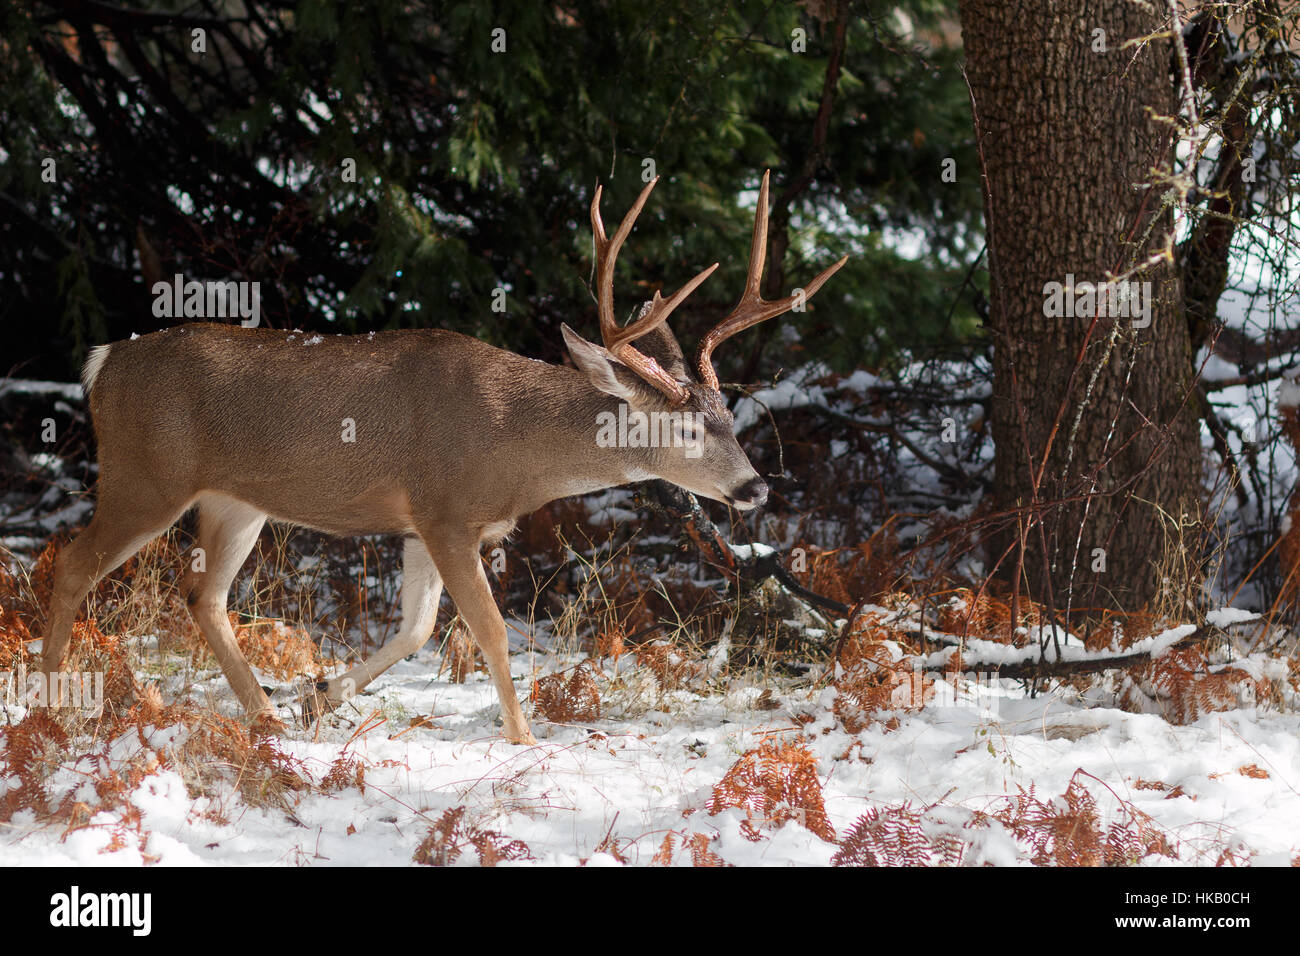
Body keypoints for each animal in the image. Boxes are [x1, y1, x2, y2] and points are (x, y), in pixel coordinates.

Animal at [40, 171, 847, 744]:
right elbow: (488, 630)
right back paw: (53, 707)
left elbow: (419, 627)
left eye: (731, 419)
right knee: (73, 567)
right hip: (145, 476)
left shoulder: (421, 522)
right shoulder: (445, 509)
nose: (754, 489)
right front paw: (524, 741)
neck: (514, 447)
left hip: (235, 500)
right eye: (685, 434)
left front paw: (319, 697)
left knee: (200, 594)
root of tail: (100, 364)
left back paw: (266, 715)